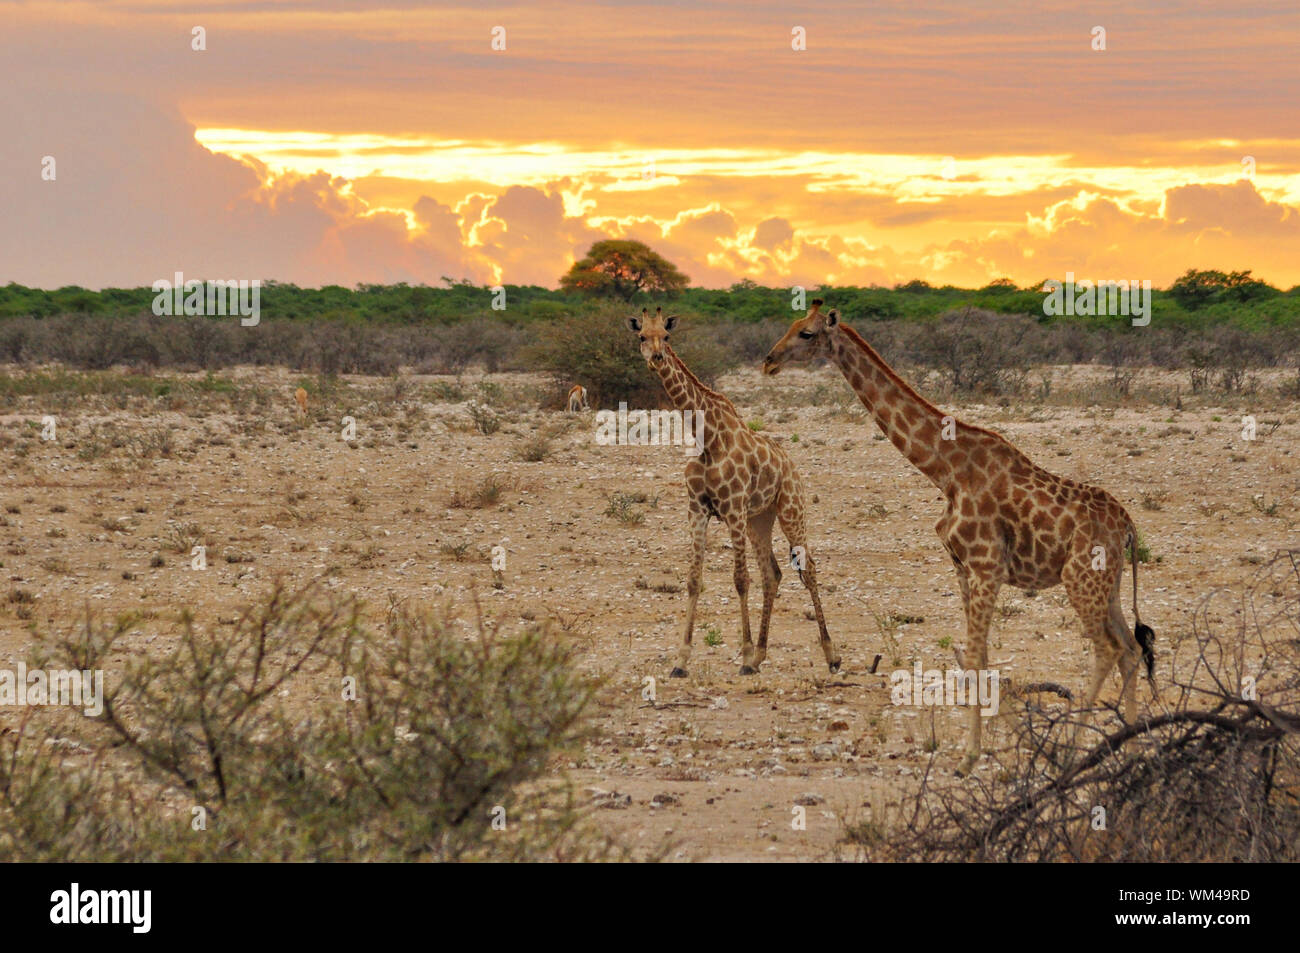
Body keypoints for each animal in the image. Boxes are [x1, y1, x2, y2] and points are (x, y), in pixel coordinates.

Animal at [627, 307, 840, 678]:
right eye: (642, 336)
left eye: (666, 337)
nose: (656, 357)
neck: (707, 436)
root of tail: (792, 465)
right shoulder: (697, 510)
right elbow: (694, 580)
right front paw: (681, 660)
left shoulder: (732, 509)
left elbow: (741, 579)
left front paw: (742, 653)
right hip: (760, 519)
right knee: (773, 574)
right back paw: (761, 656)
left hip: (790, 509)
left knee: (808, 568)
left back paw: (829, 655)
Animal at [762, 300, 1155, 768]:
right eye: (790, 325)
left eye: (806, 333)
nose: (768, 361)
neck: (945, 470)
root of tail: (1128, 525)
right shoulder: (962, 566)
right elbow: (975, 657)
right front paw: (994, 741)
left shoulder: (987, 567)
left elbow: (976, 656)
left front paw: (976, 753)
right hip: (1107, 584)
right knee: (1131, 649)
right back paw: (1132, 745)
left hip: (1081, 579)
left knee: (1108, 649)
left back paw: (1077, 749)